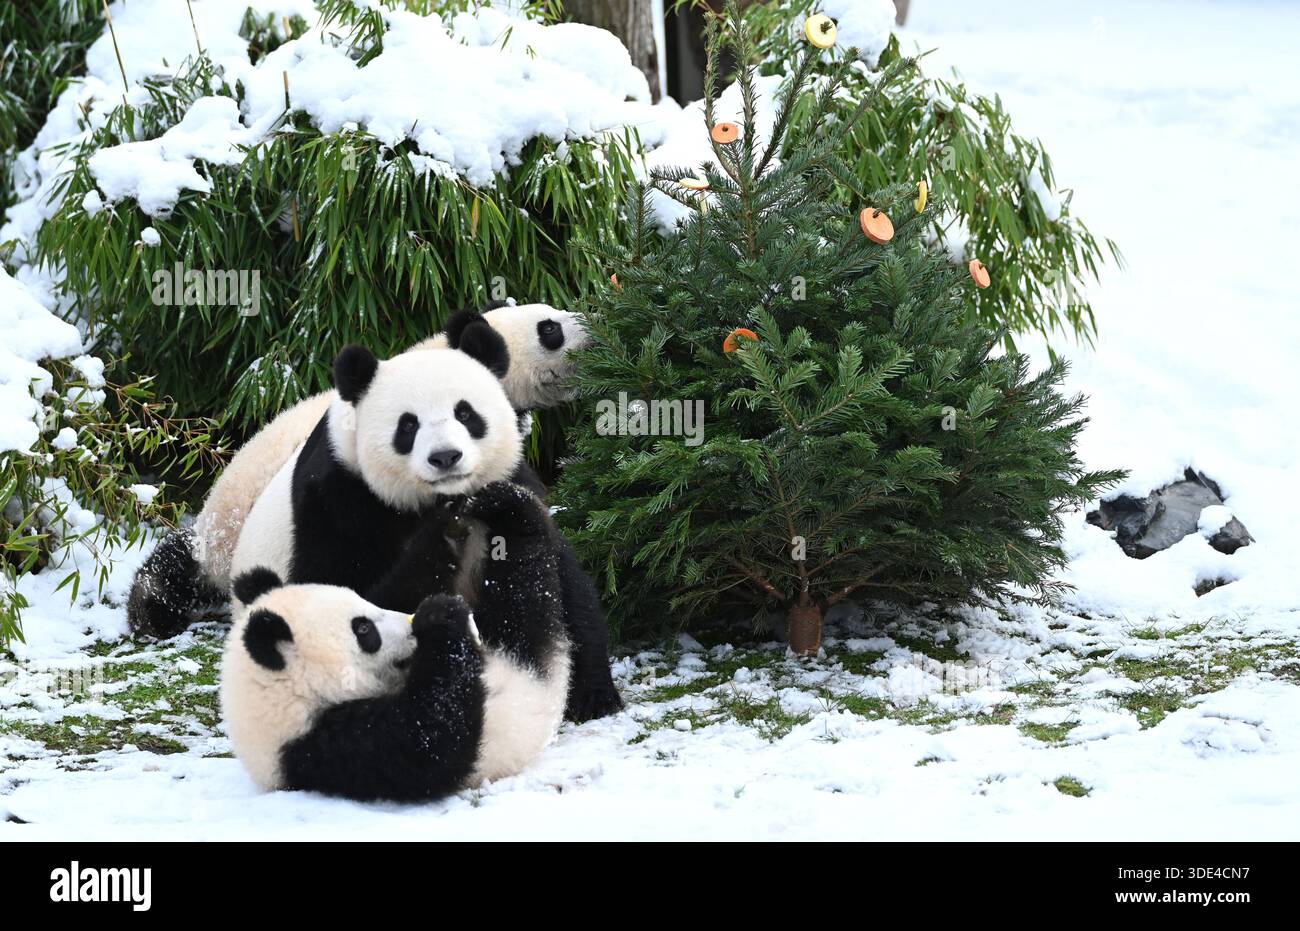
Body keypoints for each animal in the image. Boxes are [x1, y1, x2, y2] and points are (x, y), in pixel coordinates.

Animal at [221, 554, 570, 801]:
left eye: (365, 601)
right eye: (363, 629)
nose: (409, 627)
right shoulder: (324, 749)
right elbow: (429, 740)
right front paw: (441, 616)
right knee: (527, 606)